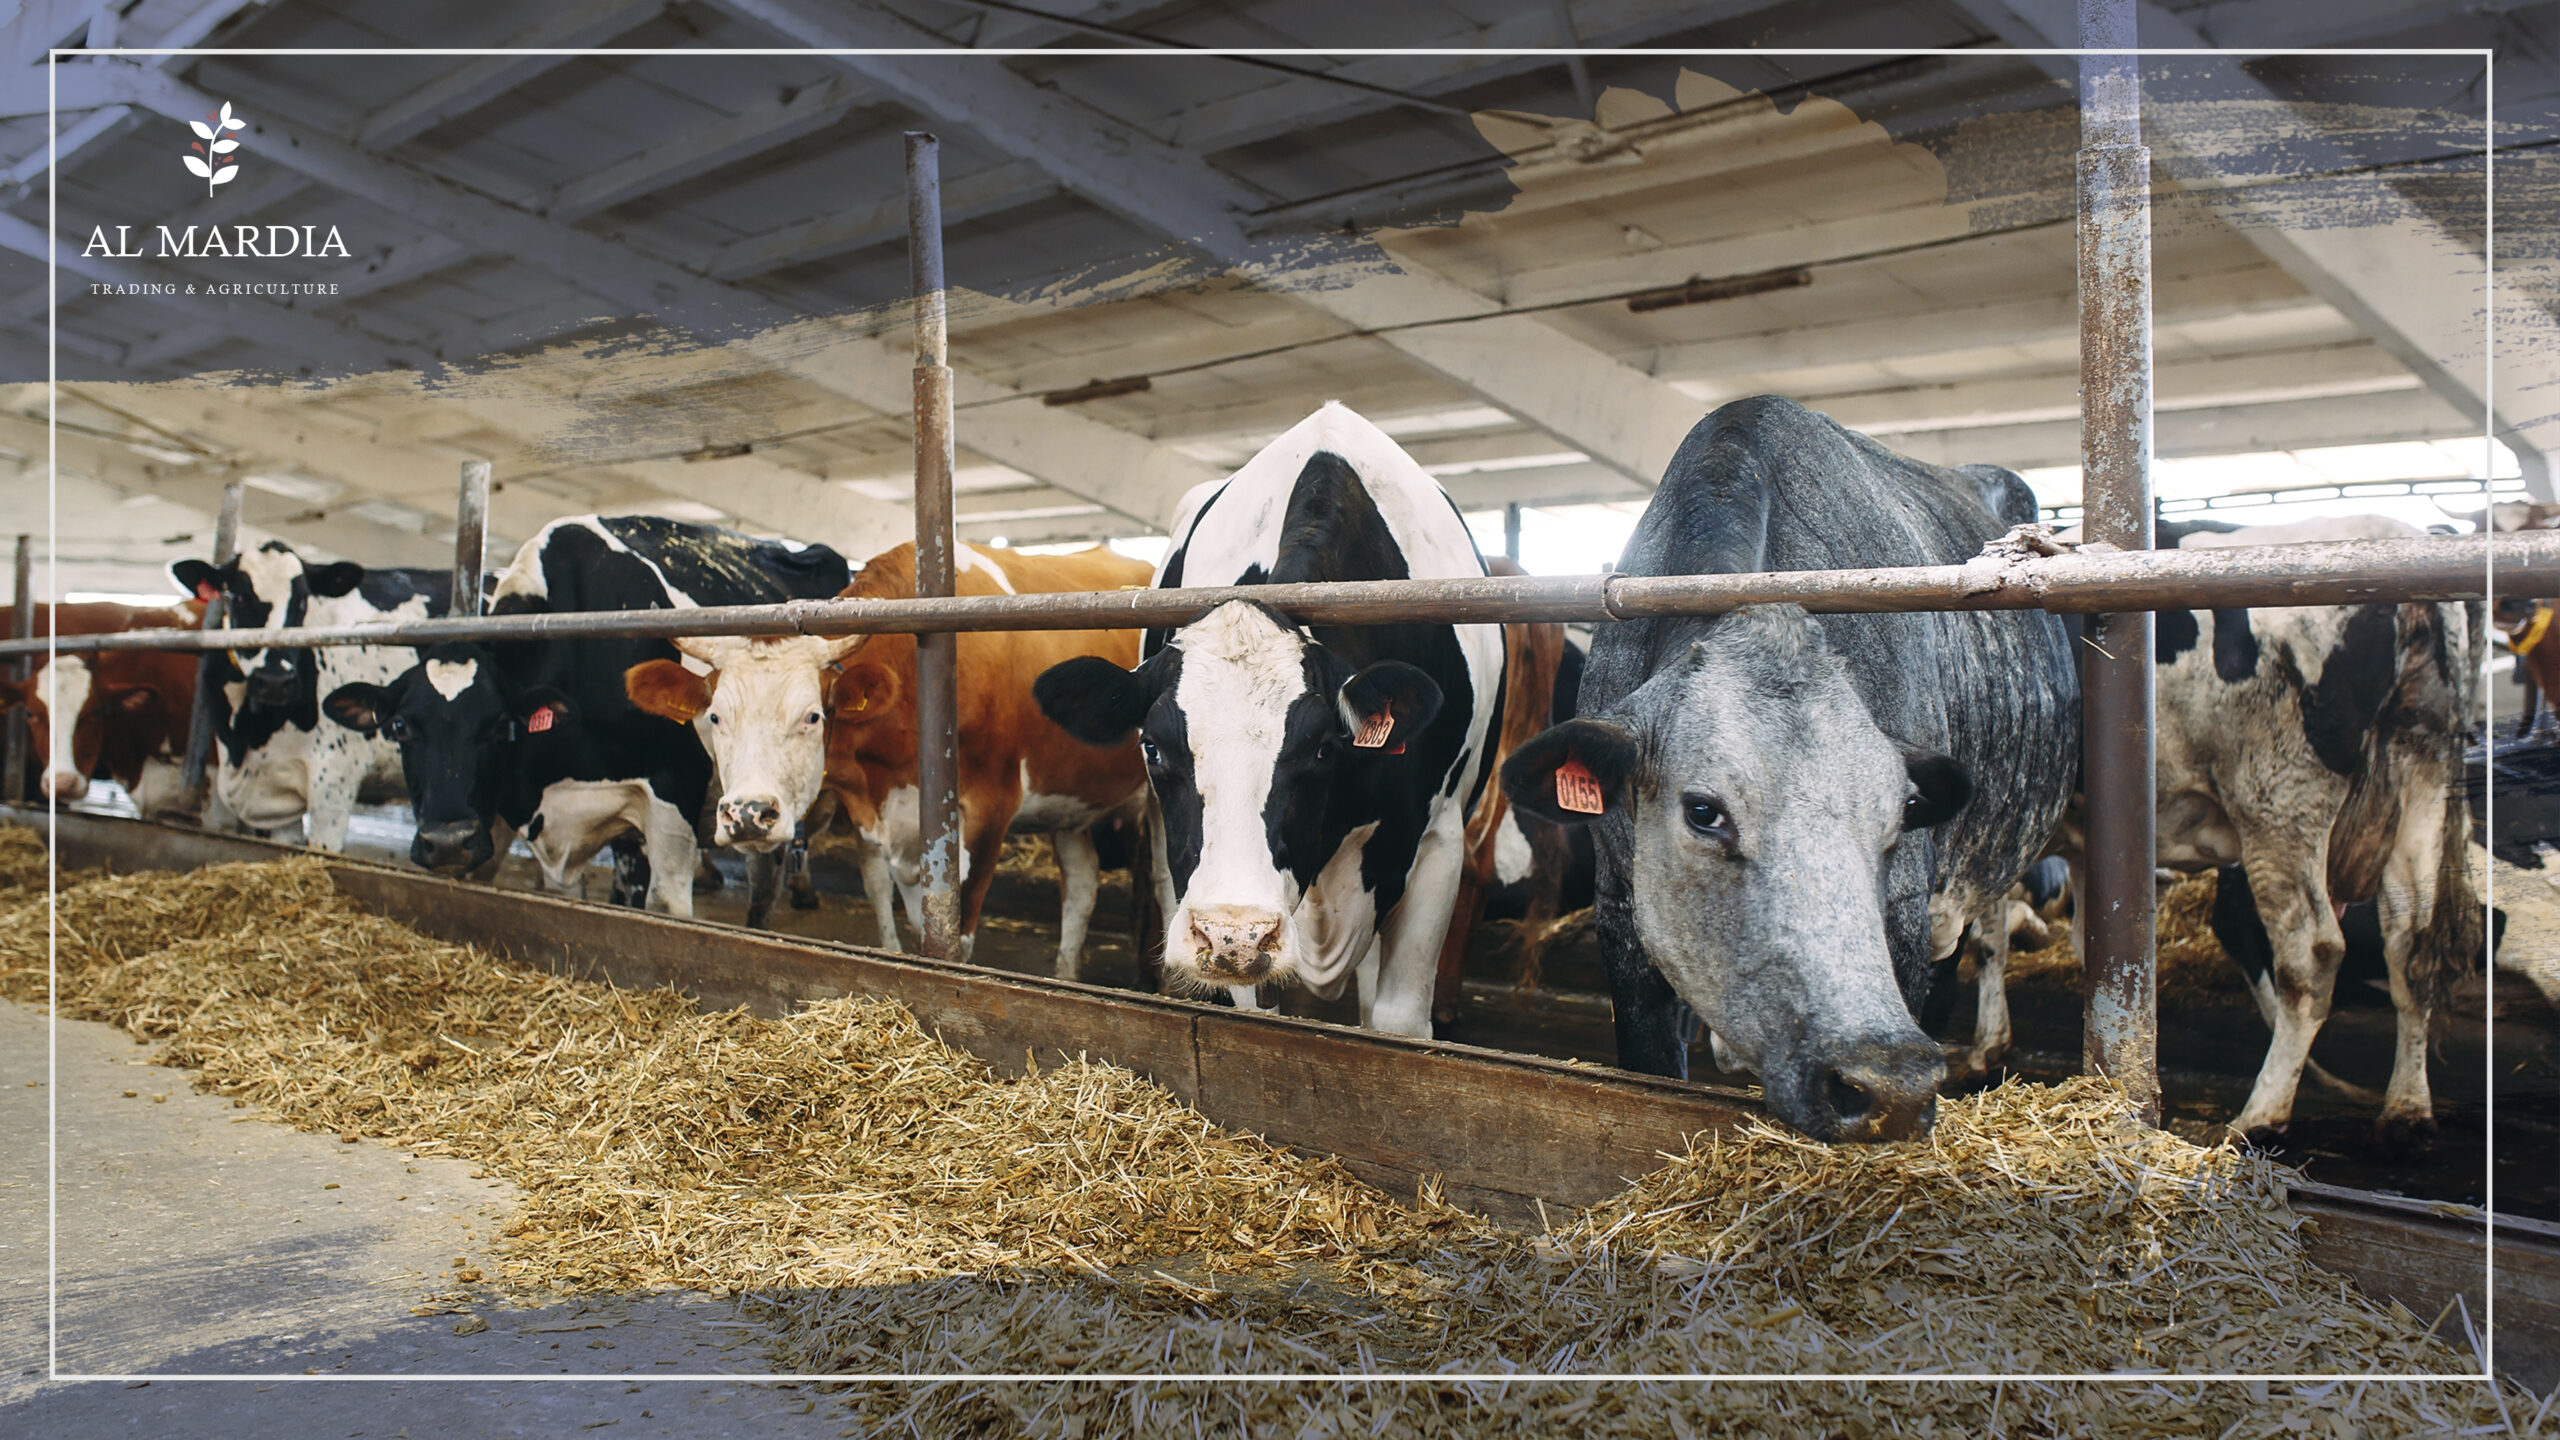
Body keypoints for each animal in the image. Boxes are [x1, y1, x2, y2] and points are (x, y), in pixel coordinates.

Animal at [319, 516, 848, 917]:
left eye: (498, 727)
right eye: (400, 728)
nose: (446, 842)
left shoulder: (674, 784)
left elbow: (667, 907)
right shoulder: (510, 809)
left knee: (765, 884)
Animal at [622, 541, 1153, 962]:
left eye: (811, 717)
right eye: (714, 717)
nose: (748, 815)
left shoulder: (990, 811)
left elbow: (957, 939)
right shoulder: (890, 826)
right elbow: (919, 923)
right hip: (1072, 807)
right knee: (1081, 889)